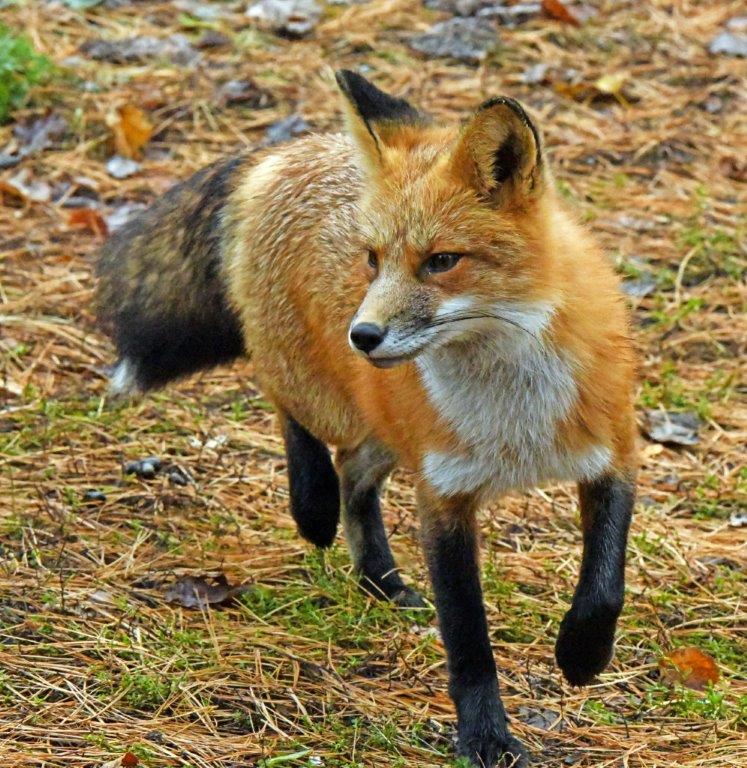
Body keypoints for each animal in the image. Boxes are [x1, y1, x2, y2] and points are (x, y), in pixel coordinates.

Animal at [96, 70, 637, 767]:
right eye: (373, 259)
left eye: (441, 261)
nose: (364, 335)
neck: (513, 415)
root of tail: (284, 152)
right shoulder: (444, 497)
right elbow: (468, 640)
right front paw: (485, 737)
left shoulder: (612, 455)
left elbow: (605, 586)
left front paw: (582, 654)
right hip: (323, 394)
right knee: (289, 410)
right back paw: (312, 504)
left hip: (384, 427)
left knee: (355, 472)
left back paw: (379, 579)